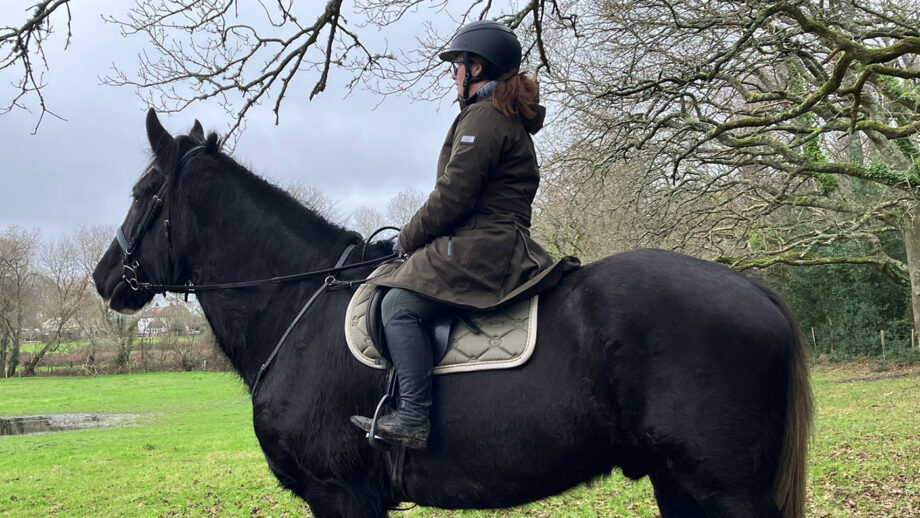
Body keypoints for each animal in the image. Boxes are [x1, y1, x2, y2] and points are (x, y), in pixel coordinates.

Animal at [93, 109, 813, 518]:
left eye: (142, 192)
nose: (104, 277)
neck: (298, 307)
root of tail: (756, 293)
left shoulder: (340, 496)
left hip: (721, 489)